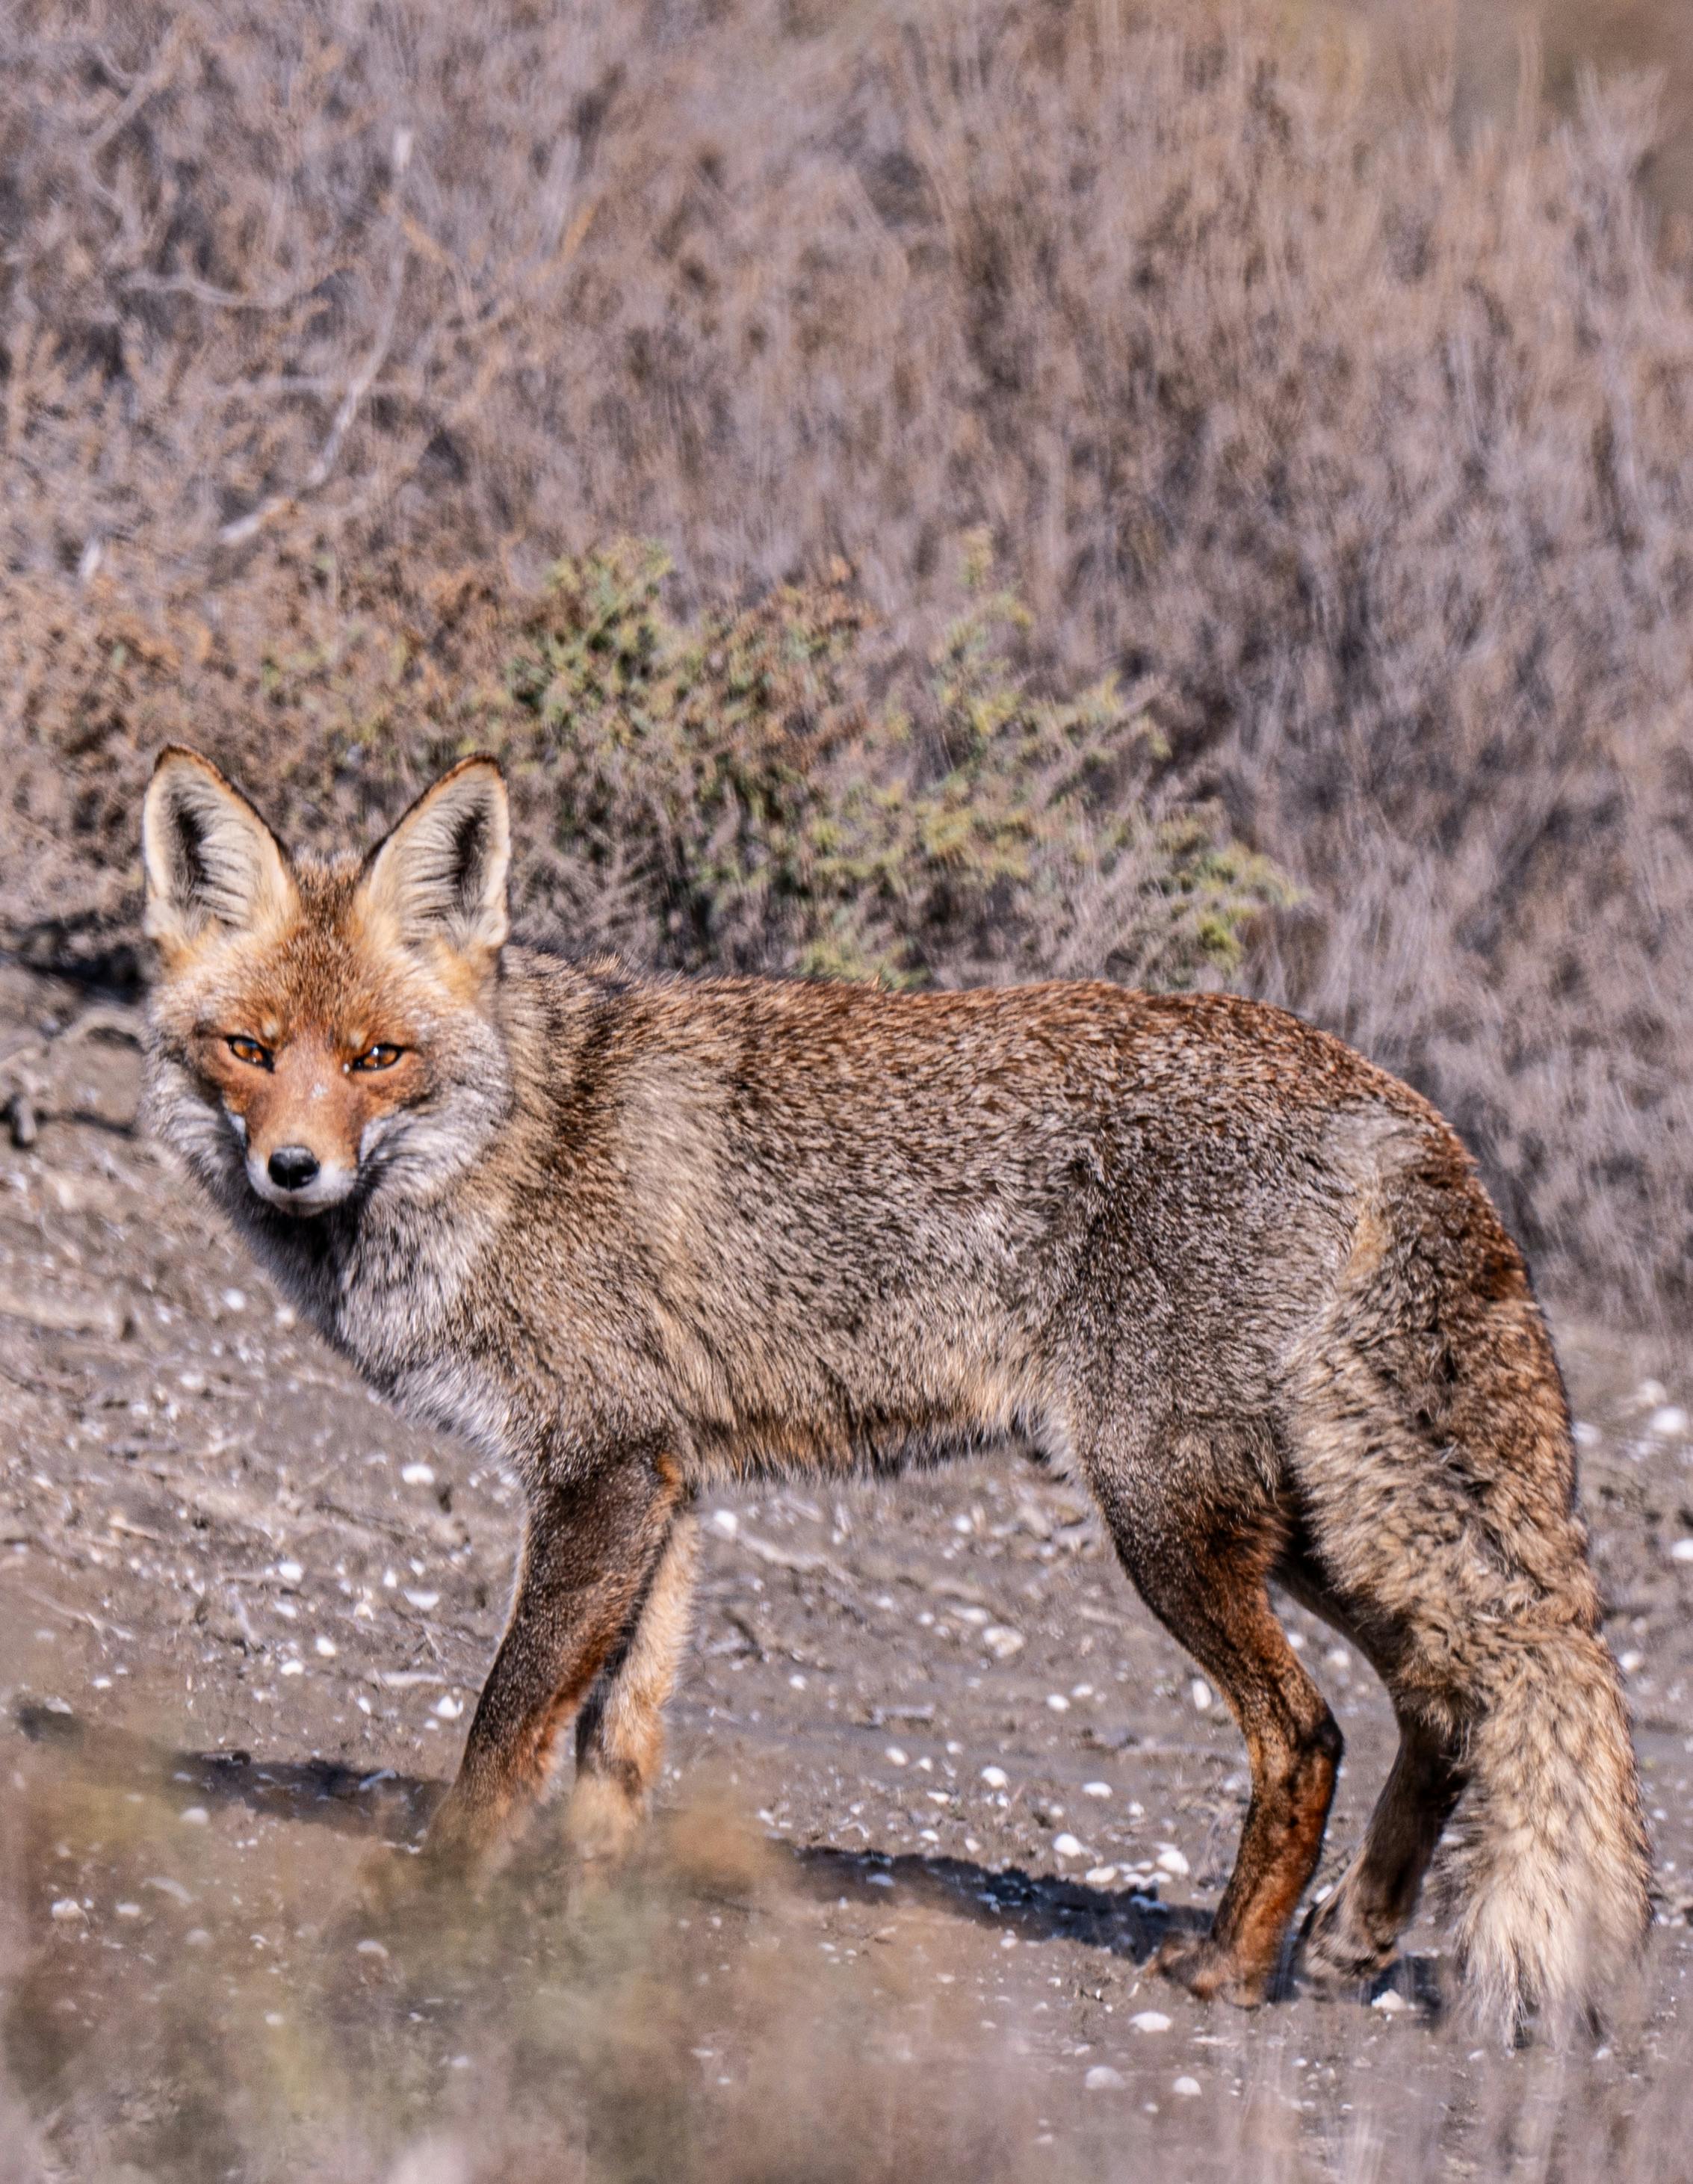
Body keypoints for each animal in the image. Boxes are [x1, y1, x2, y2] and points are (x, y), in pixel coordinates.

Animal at [139, 744, 1649, 2036]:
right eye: (249, 1050)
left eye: (377, 1058)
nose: (293, 1169)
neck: (514, 1142)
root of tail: (1388, 1090)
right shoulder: (664, 1481)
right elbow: (617, 1738)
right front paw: (585, 1904)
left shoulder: (602, 1469)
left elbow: (508, 1721)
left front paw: (442, 1897)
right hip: (1291, 1521)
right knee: (1452, 1695)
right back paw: (1346, 1939)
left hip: (1169, 1518)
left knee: (1315, 1731)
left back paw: (1231, 1965)